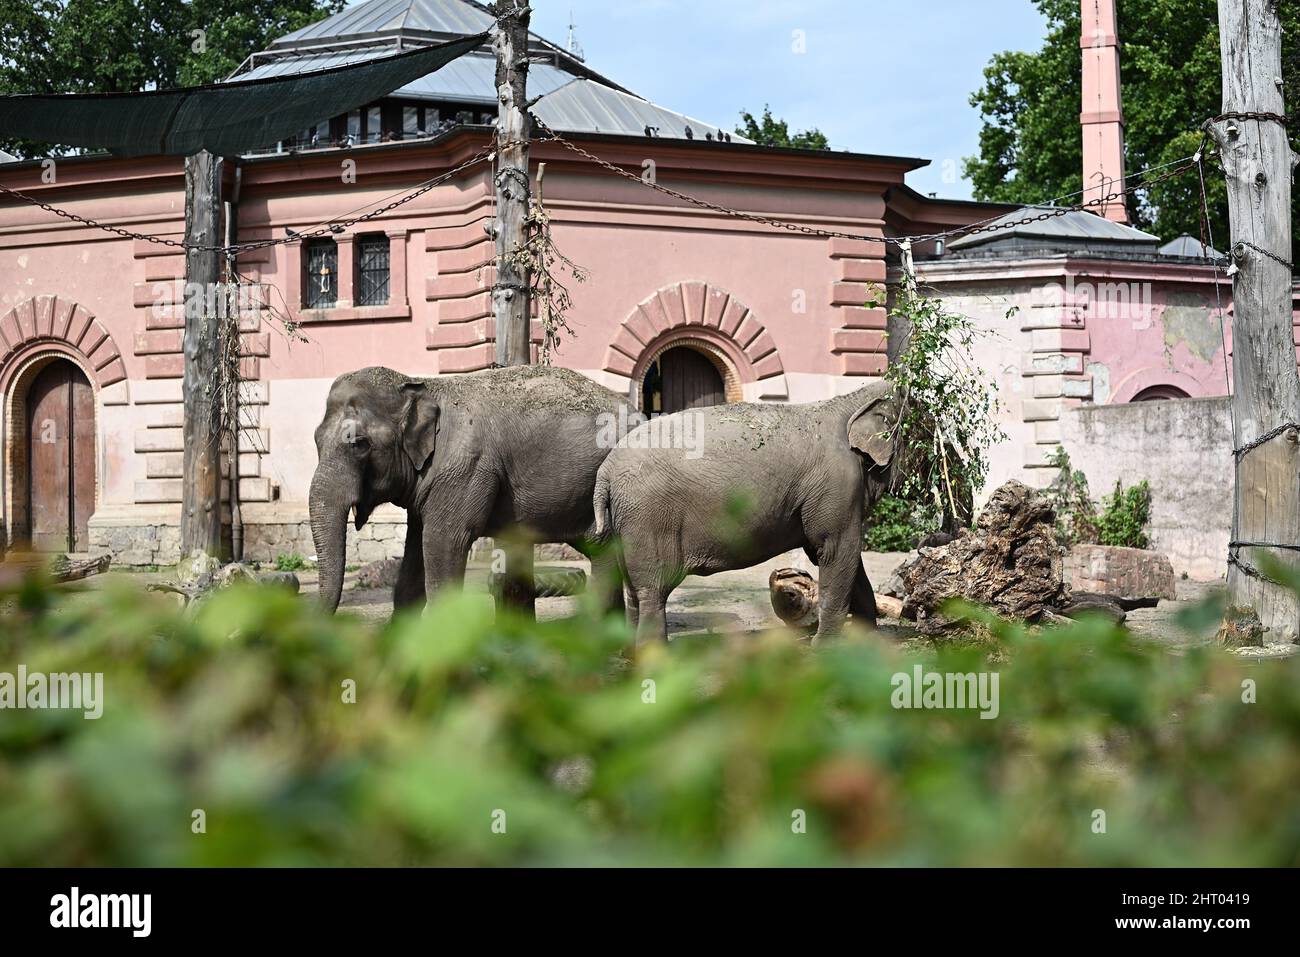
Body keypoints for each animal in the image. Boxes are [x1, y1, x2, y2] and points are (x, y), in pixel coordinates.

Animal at [309, 364, 633, 615]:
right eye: (315, 439)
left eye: (359, 443)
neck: (420, 383)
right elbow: (414, 554)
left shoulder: (463, 471)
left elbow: (443, 542)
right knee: (601, 547)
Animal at [593, 379, 901, 645]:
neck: (849, 401)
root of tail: (605, 473)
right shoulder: (836, 482)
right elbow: (835, 550)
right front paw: (827, 649)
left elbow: (841, 556)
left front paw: (867, 642)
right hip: (649, 519)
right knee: (652, 589)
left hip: (625, 520)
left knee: (633, 590)